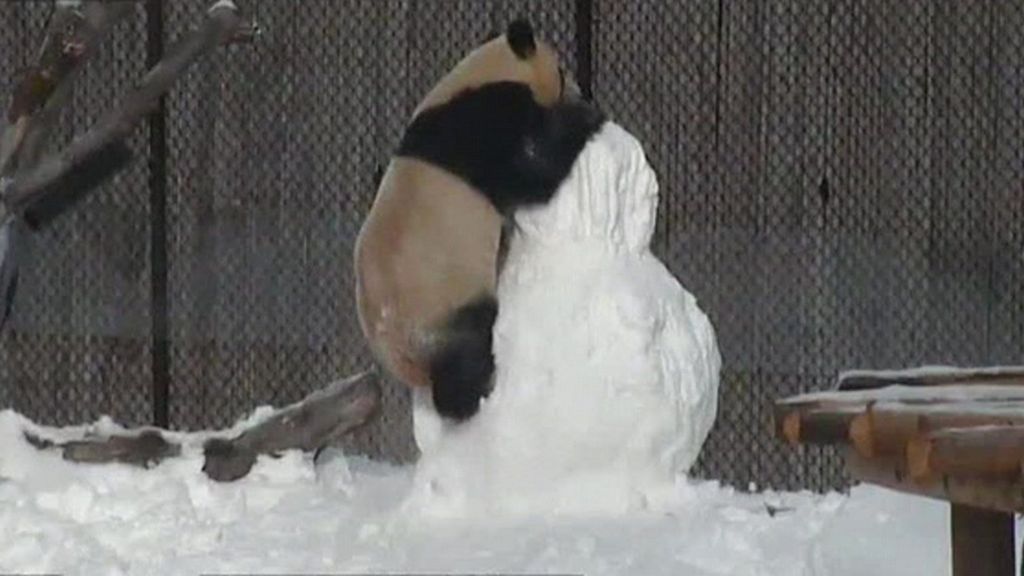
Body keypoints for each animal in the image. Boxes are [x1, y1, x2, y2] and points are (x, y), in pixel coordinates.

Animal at [354, 19, 605, 422]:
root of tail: (403, 363)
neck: (483, 75)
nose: (579, 91)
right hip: (441, 308)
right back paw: (474, 394)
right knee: (468, 349)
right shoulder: (483, 126)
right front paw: (584, 117)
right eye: (562, 71)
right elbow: (531, 172)